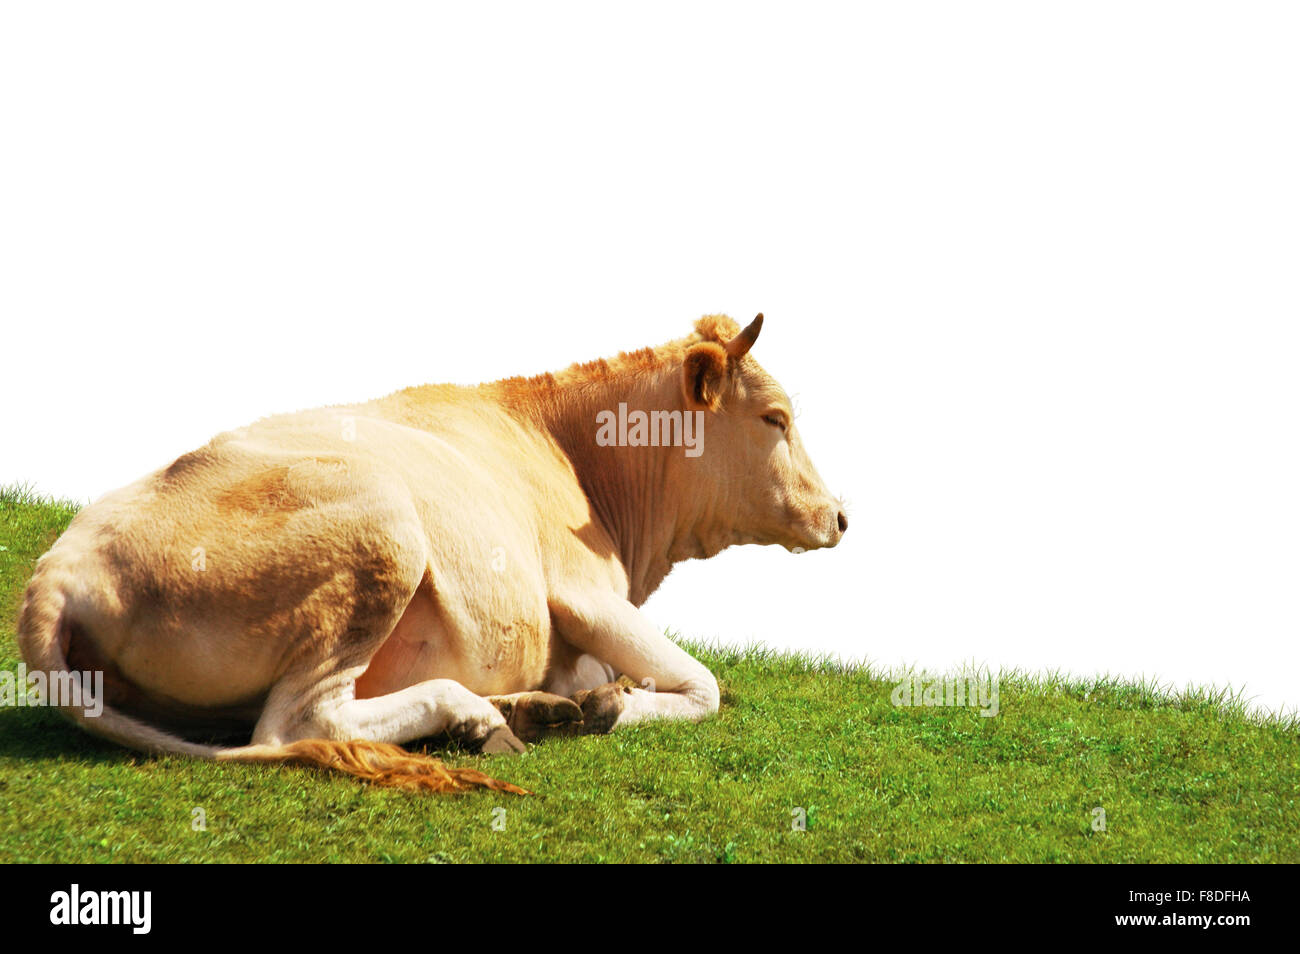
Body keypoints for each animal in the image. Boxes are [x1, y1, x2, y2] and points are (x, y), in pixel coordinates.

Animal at [17, 313, 846, 794]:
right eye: (775, 418)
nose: (840, 516)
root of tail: (56, 571)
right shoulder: (582, 591)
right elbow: (705, 687)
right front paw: (614, 704)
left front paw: (576, 696)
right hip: (385, 530)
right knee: (301, 724)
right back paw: (476, 714)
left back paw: (519, 711)